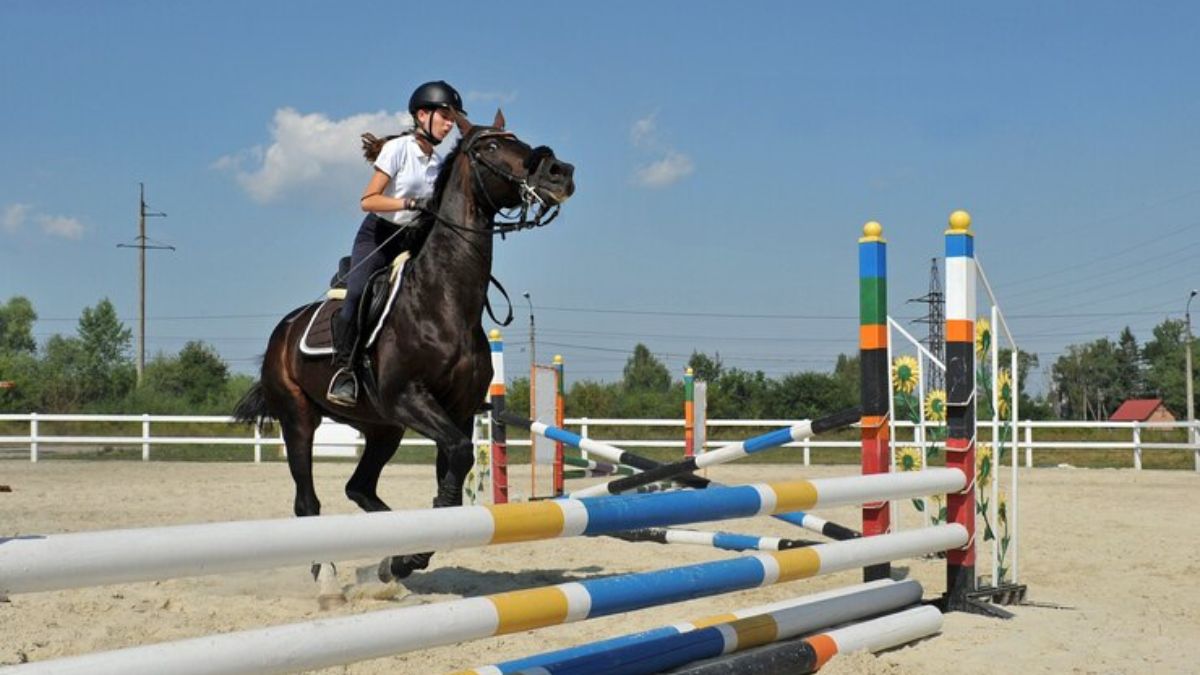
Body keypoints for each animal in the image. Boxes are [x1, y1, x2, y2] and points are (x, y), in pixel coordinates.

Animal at [234, 110, 574, 602]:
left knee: (358, 488)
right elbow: (457, 461)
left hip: (382, 429)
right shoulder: (409, 398)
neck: (444, 300)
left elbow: (454, 473)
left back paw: (384, 559)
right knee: (307, 501)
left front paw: (404, 560)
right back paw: (328, 578)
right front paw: (408, 558)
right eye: (491, 147)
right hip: (300, 418)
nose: (559, 172)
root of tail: (283, 330)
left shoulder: (457, 411)